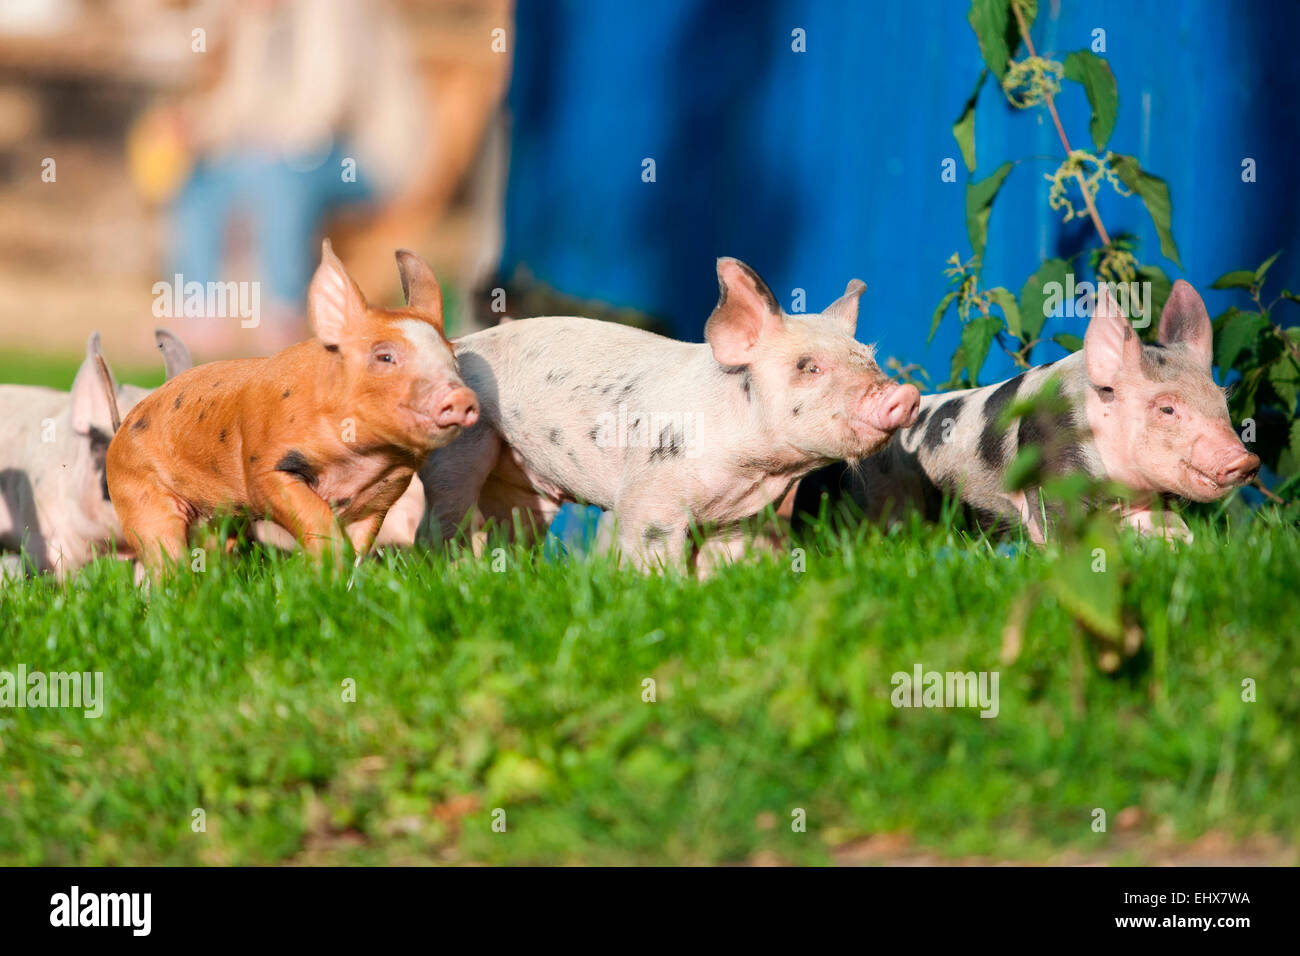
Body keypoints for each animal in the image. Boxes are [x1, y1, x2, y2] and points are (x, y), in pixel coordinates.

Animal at [106, 241, 478, 573]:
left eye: (454, 360)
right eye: (384, 356)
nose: (462, 398)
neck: (364, 459)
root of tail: (123, 425)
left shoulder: (380, 495)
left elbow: (359, 544)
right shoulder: (267, 470)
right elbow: (319, 520)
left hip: (220, 519)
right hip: (137, 493)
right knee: (163, 556)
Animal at [417, 257, 920, 568]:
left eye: (870, 357)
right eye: (808, 366)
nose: (905, 393)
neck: (756, 470)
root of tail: (459, 343)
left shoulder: (734, 521)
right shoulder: (650, 496)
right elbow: (654, 552)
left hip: (521, 481)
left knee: (514, 526)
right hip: (460, 451)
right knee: (442, 518)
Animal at [793, 280, 1260, 542]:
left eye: (1222, 402)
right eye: (1166, 408)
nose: (1246, 460)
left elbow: (1176, 534)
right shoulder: (1051, 473)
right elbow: (1060, 535)